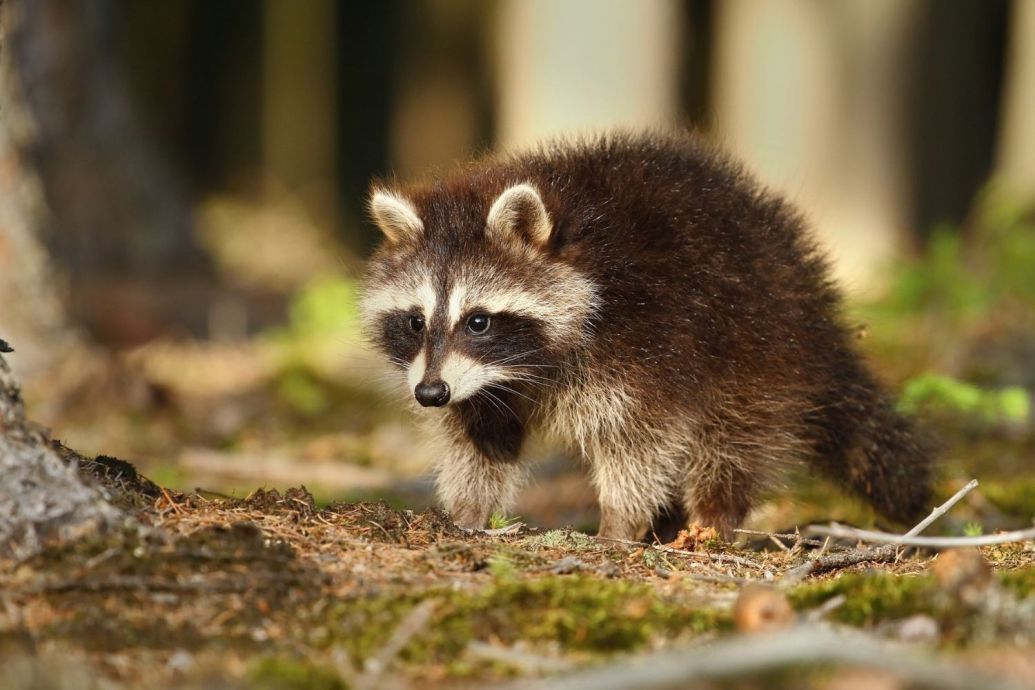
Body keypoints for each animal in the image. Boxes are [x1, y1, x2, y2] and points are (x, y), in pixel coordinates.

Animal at [360, 131, 933, 542]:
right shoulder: (478, 384)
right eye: (415, 322)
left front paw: (619, 523)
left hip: (756, 343)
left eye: (477, 321)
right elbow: (480, 439)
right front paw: (467, 513)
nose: (429, 394)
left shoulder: (645, 341)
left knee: (733, 438)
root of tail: (811, 298)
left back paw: (713, 518)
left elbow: (638, 441)